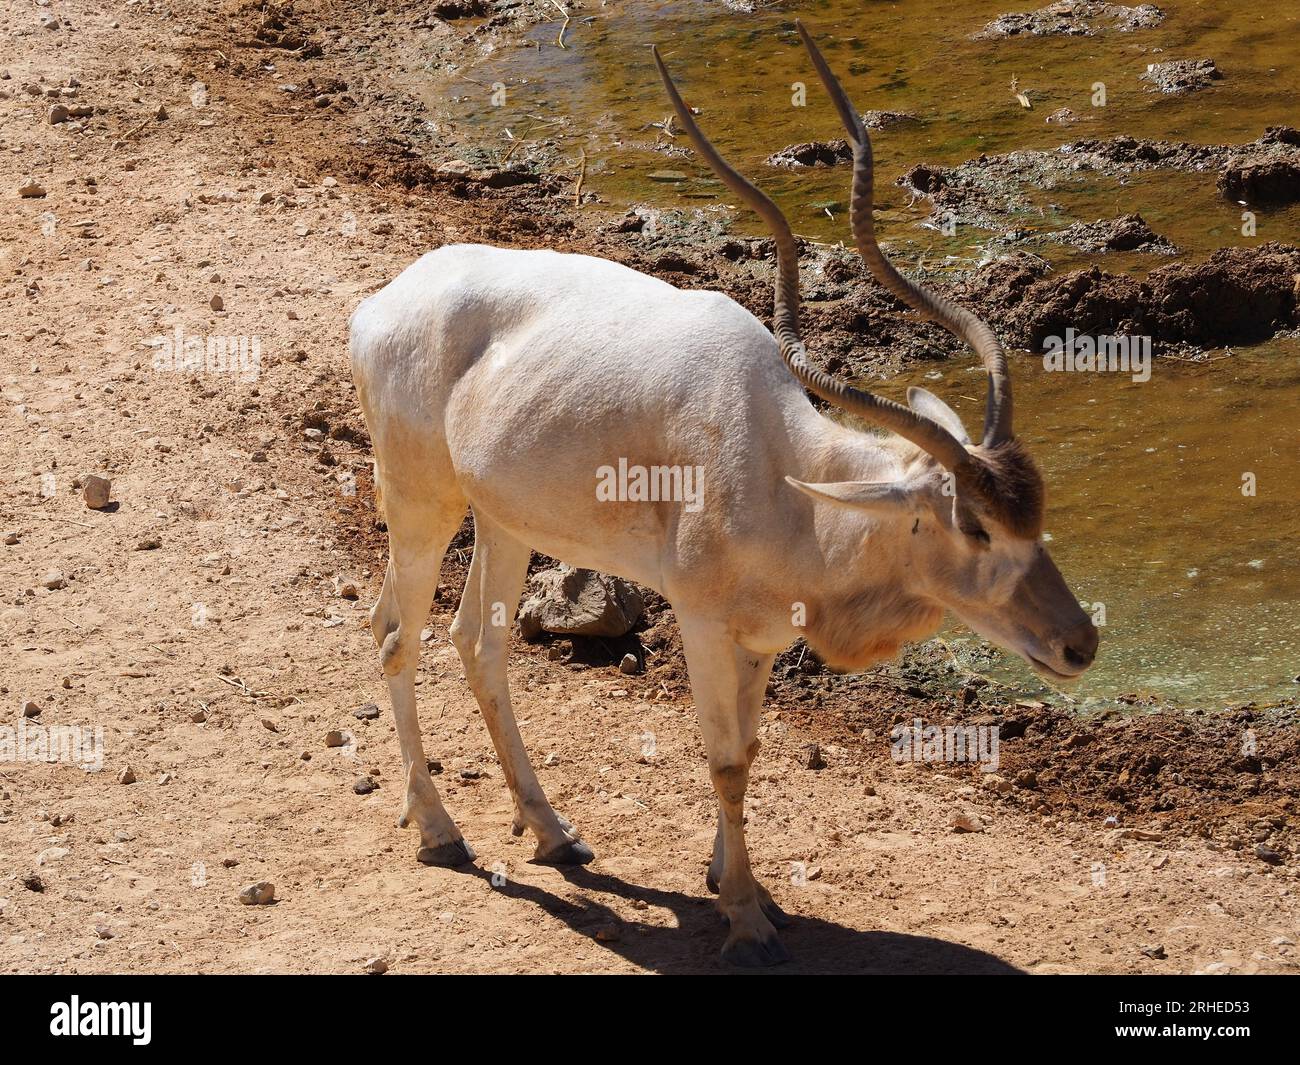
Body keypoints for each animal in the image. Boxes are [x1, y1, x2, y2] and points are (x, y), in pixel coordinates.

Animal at [349, 22, 1098, 966]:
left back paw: (552, 831)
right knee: (395, 637)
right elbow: (726, 760)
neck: (784, 469)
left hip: (505, 520)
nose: (1080, 643)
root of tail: (378, 308)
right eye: (973, 528)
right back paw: (439, 830)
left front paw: (734, 880)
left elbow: (753, 740)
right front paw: (745, 914)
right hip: (423, 503)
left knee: (475, 640)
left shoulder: (765, 632)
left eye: (1034, 515)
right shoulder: (703, 621)